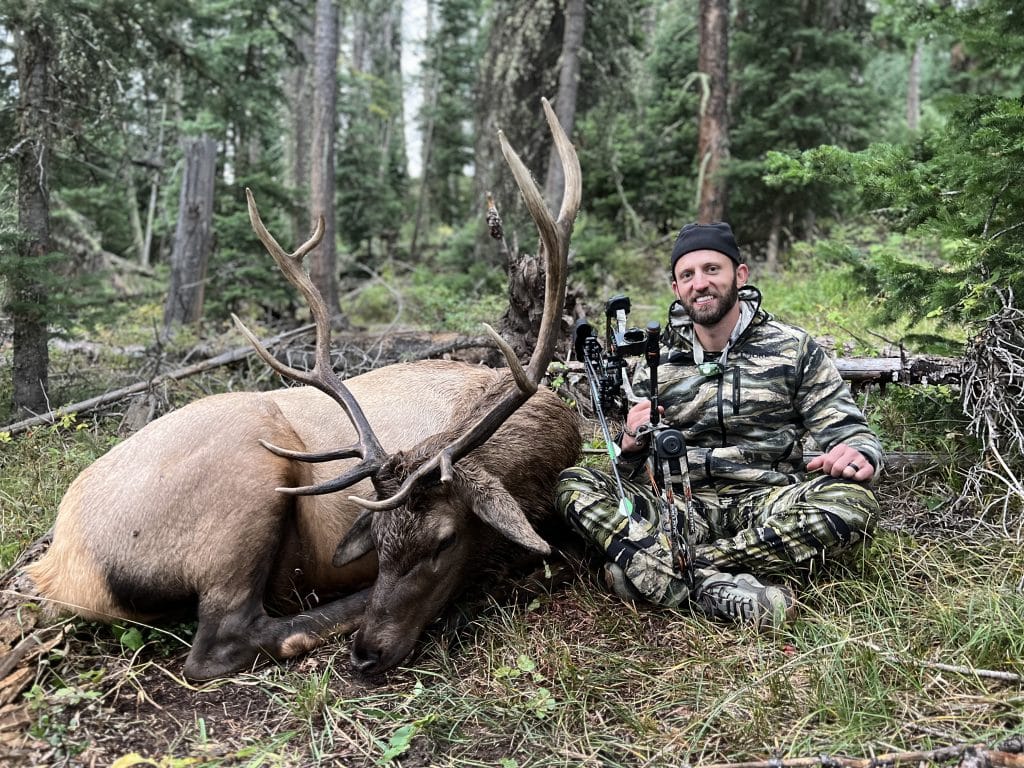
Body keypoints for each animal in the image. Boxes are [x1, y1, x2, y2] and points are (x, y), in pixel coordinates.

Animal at [26, 98, 582, 680]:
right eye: (377, 540)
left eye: (444, 540)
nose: (367, 652)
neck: (549, 441)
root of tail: (61, 570)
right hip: (248, 477)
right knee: (221, 642)